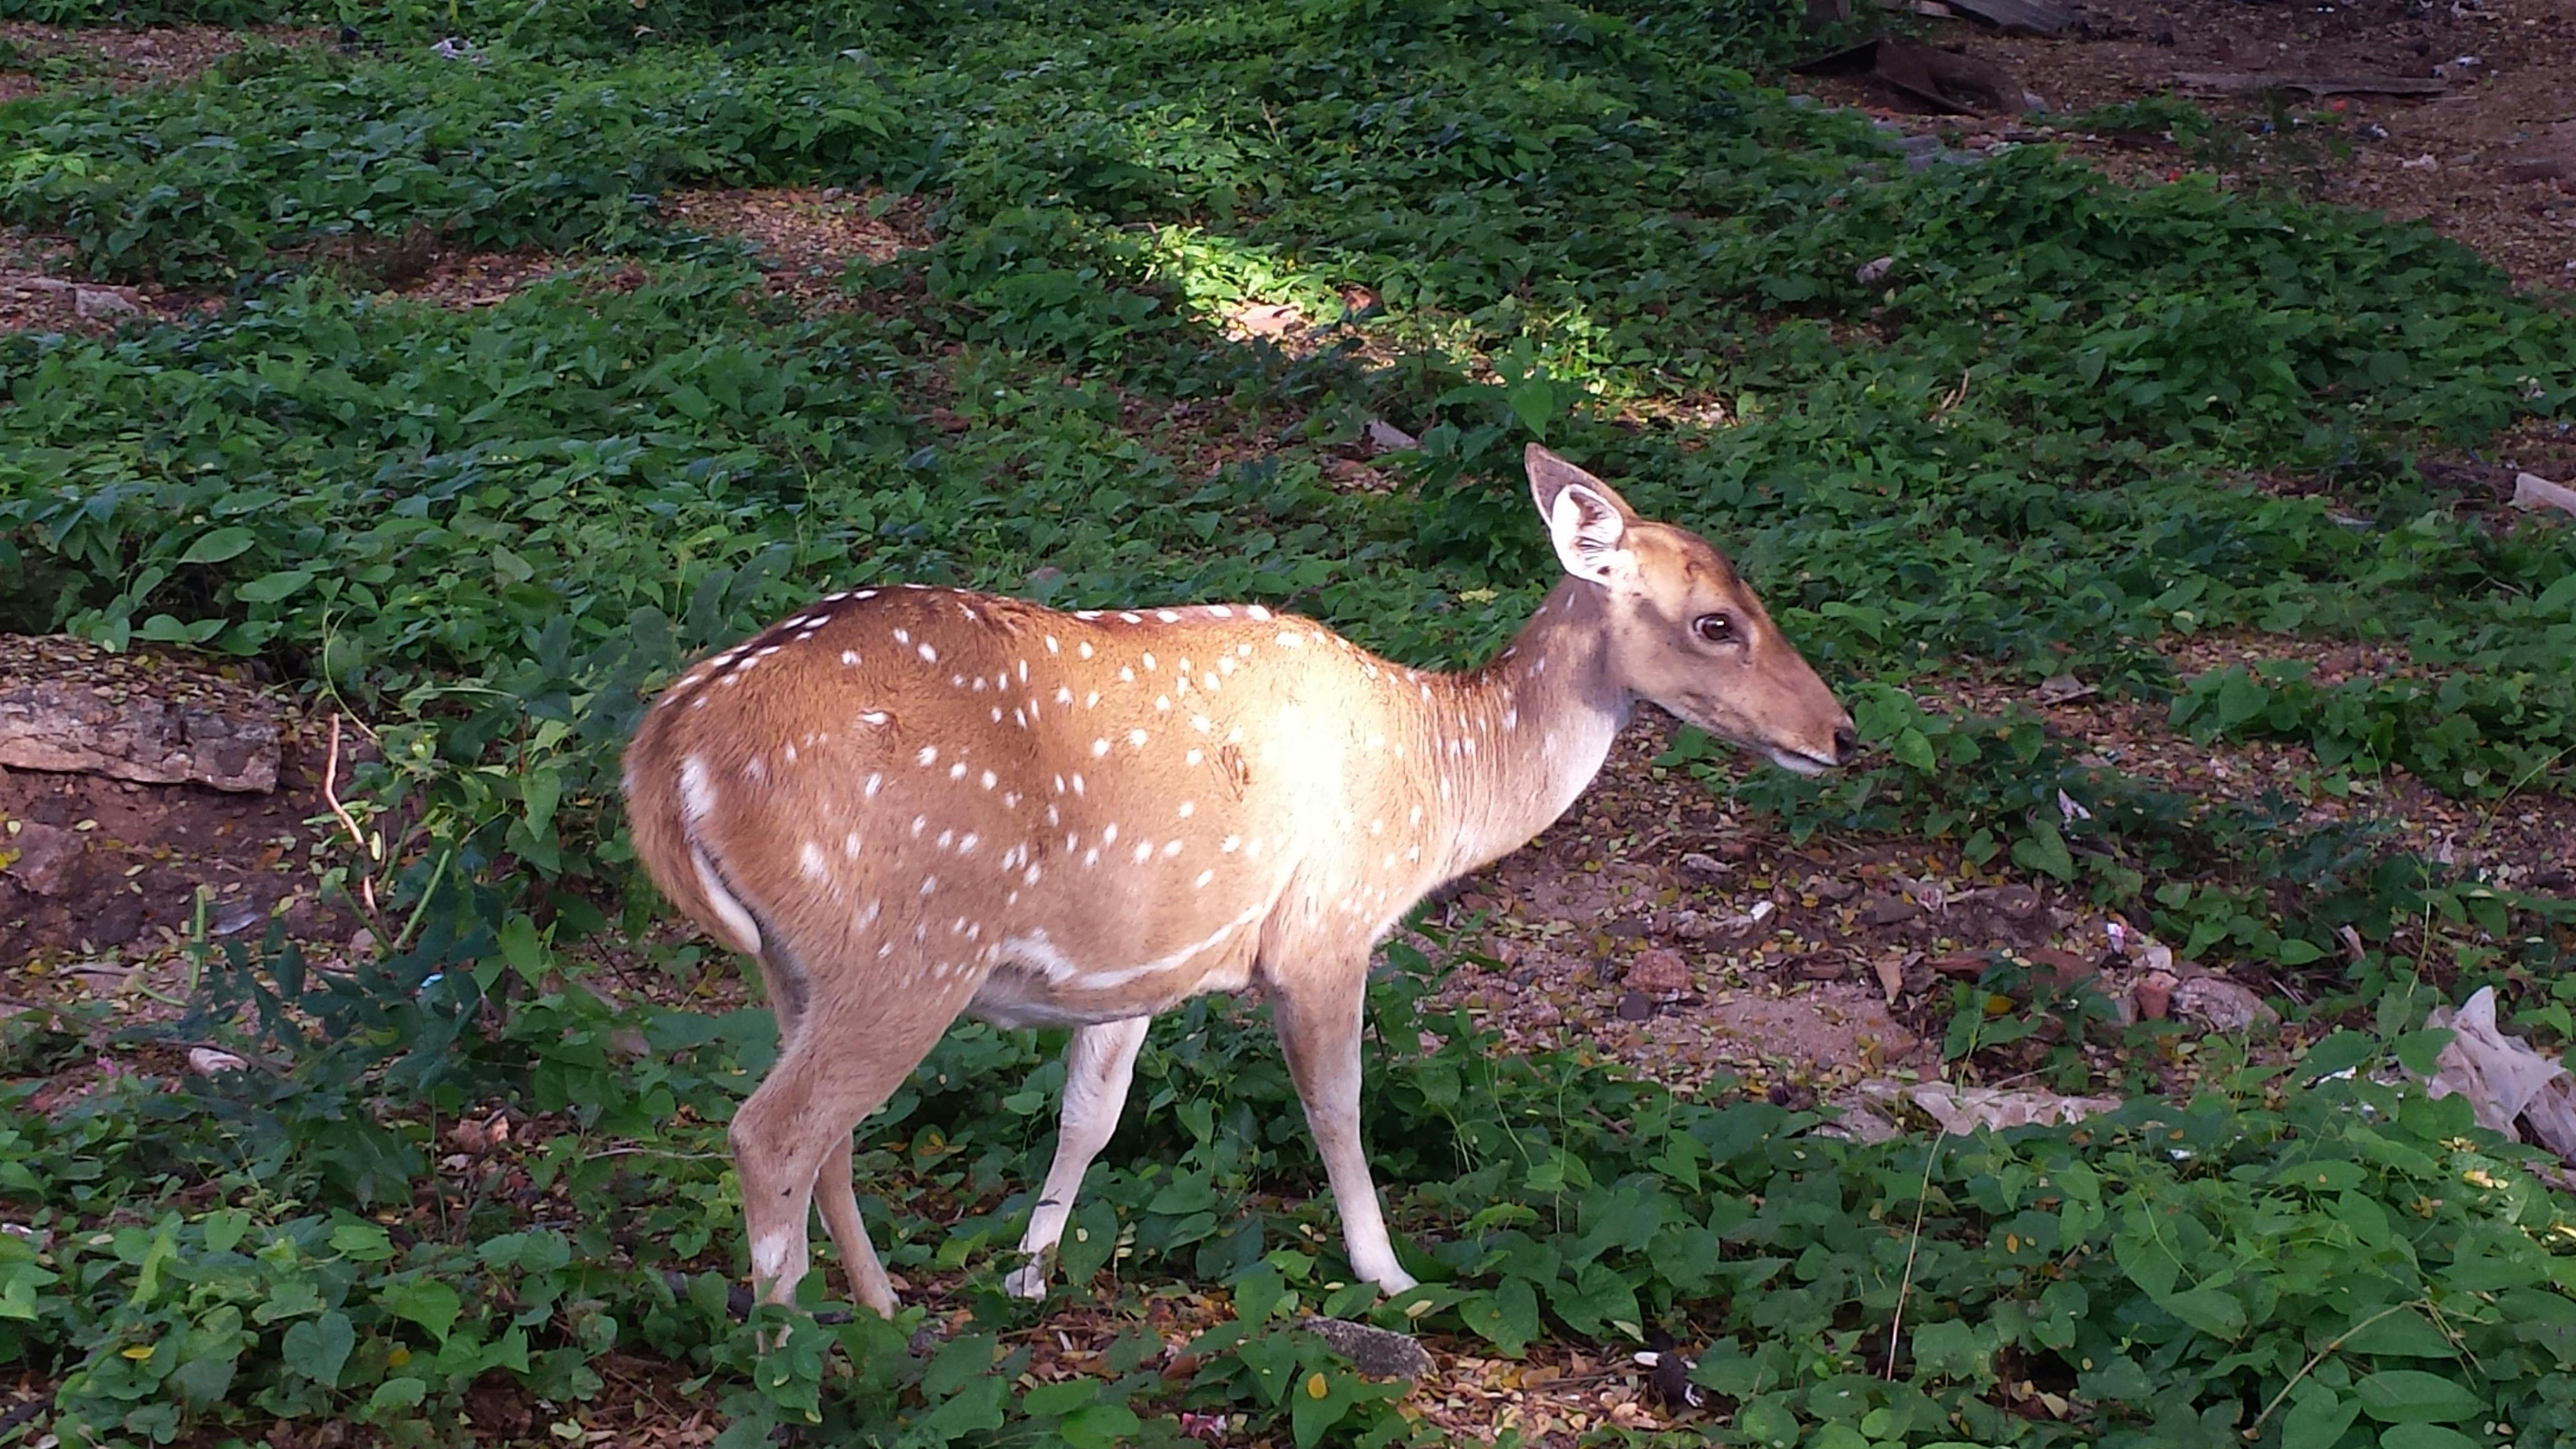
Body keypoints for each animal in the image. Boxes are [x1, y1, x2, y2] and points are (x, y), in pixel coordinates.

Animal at [621, 443, 1856, 1323]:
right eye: (1714, 622)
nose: (1841, 734)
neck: (1437, 778)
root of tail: (666, 754)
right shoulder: (1327, 927)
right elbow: (1338, 1107)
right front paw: (1389, 1275)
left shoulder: (1135, 961)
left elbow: (1090, 1114)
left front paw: (1028, 1272)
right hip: (906, 943)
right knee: (772, 1132)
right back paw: (790, 1354)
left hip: (799, 961)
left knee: (821, 1134)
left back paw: (882, 1307)